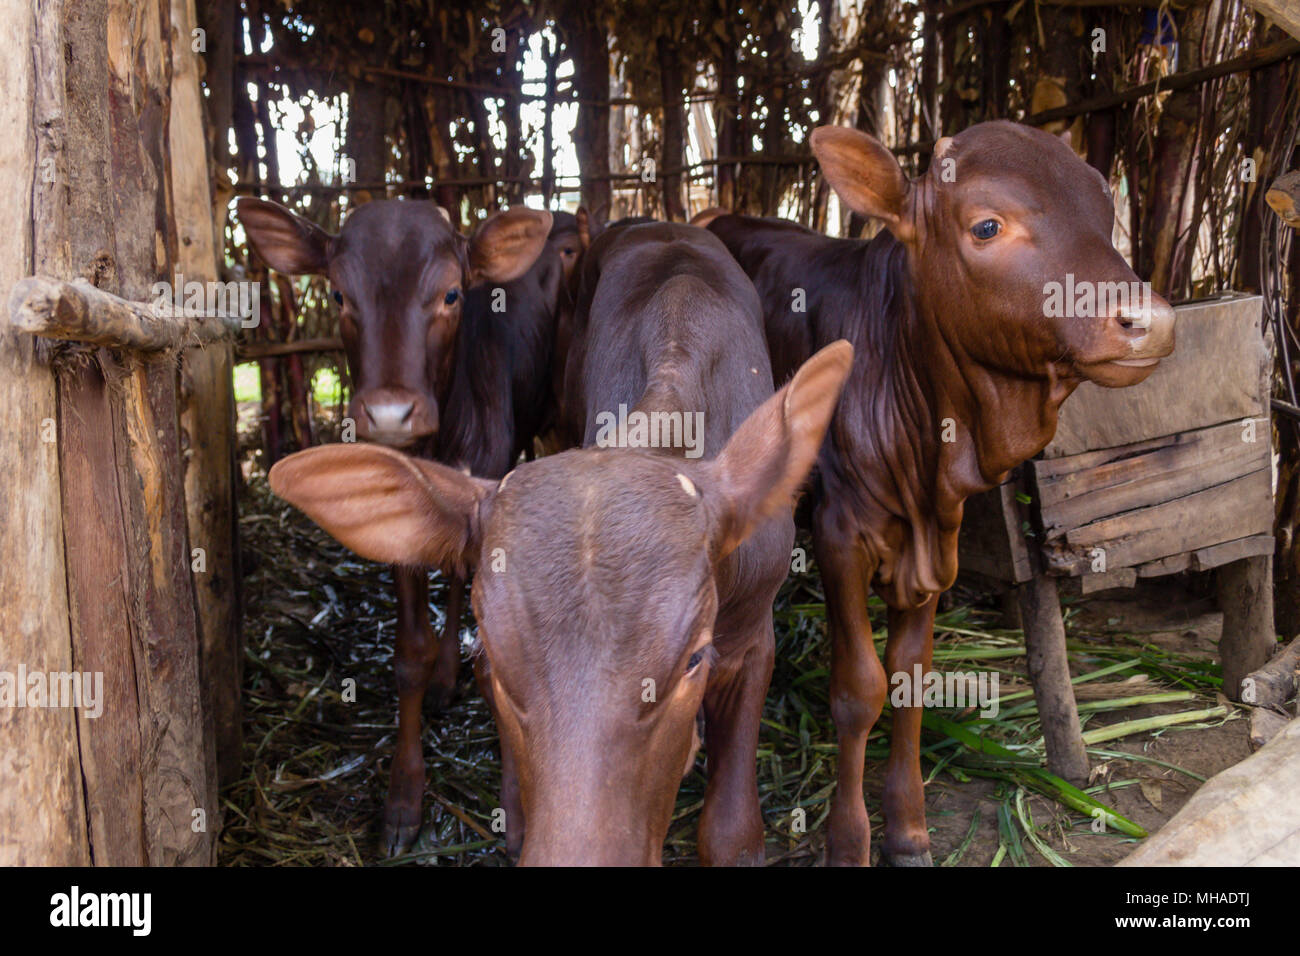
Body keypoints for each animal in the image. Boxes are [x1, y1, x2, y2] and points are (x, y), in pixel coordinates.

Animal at [236, 196, 555, 855]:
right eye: (337, 294)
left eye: (452, 294)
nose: (387, 412)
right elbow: (408, 653)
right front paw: (404, 797)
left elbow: (498, 659)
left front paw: (515, 811)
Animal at [706, 120, 1176, 866]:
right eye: (986, 225)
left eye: (1105, 212)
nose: (1149, 320)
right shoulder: (839, 533)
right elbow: (859, 688)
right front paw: (849, 840)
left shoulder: (937, 533)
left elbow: (909, 677)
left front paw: (908, 830)